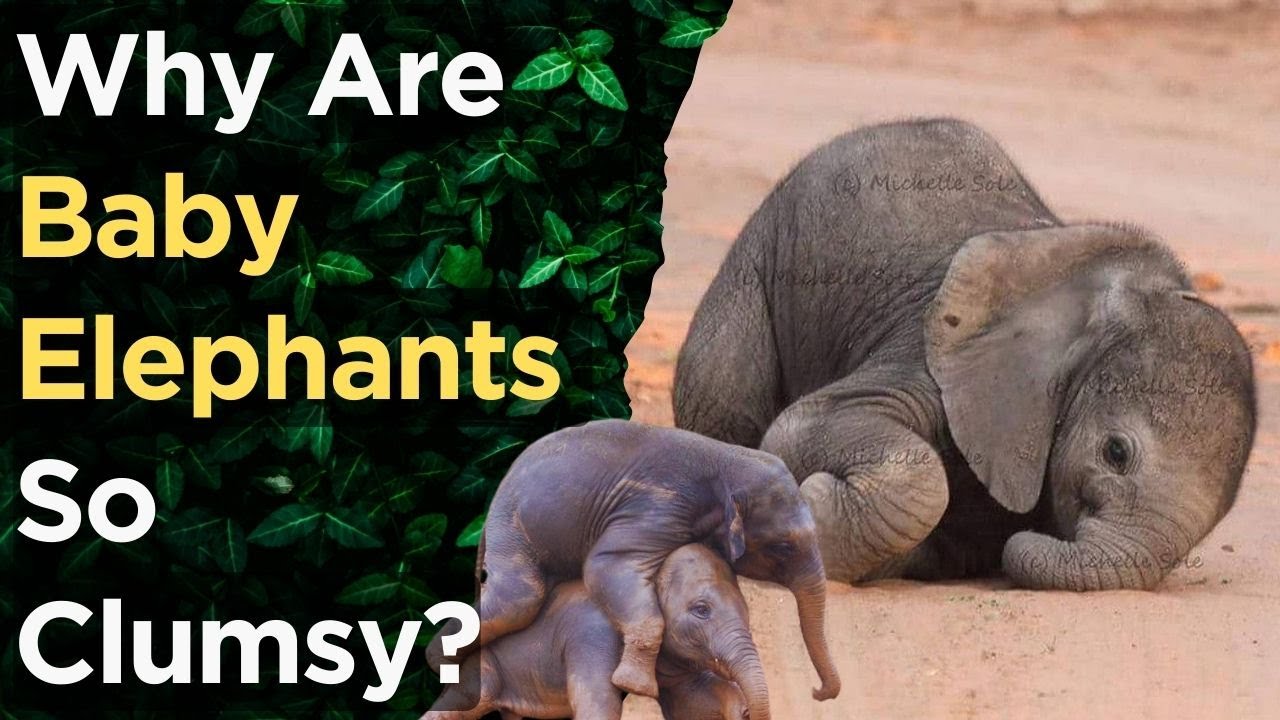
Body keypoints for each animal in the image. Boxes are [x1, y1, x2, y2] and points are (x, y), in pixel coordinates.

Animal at [422, 544, 758, 720]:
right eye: (701, 609)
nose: (749, 712)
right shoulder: (592, 636)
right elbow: (598, 706)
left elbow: (691, 697)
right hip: (479, 669)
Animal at [456, 419, 839, 703]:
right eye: (784, 547)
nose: (816, 691)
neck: (725, 456)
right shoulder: (662, 506)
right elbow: (605, 565)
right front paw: (635, 686)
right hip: (514, 527)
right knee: (520, 597)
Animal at [674, 118, 1256, 591]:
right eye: (1116, 452)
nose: (1040, 539)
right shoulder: (935, 357)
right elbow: (805, 428)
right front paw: (808, 505)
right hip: (754, 265)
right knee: (724, 401)